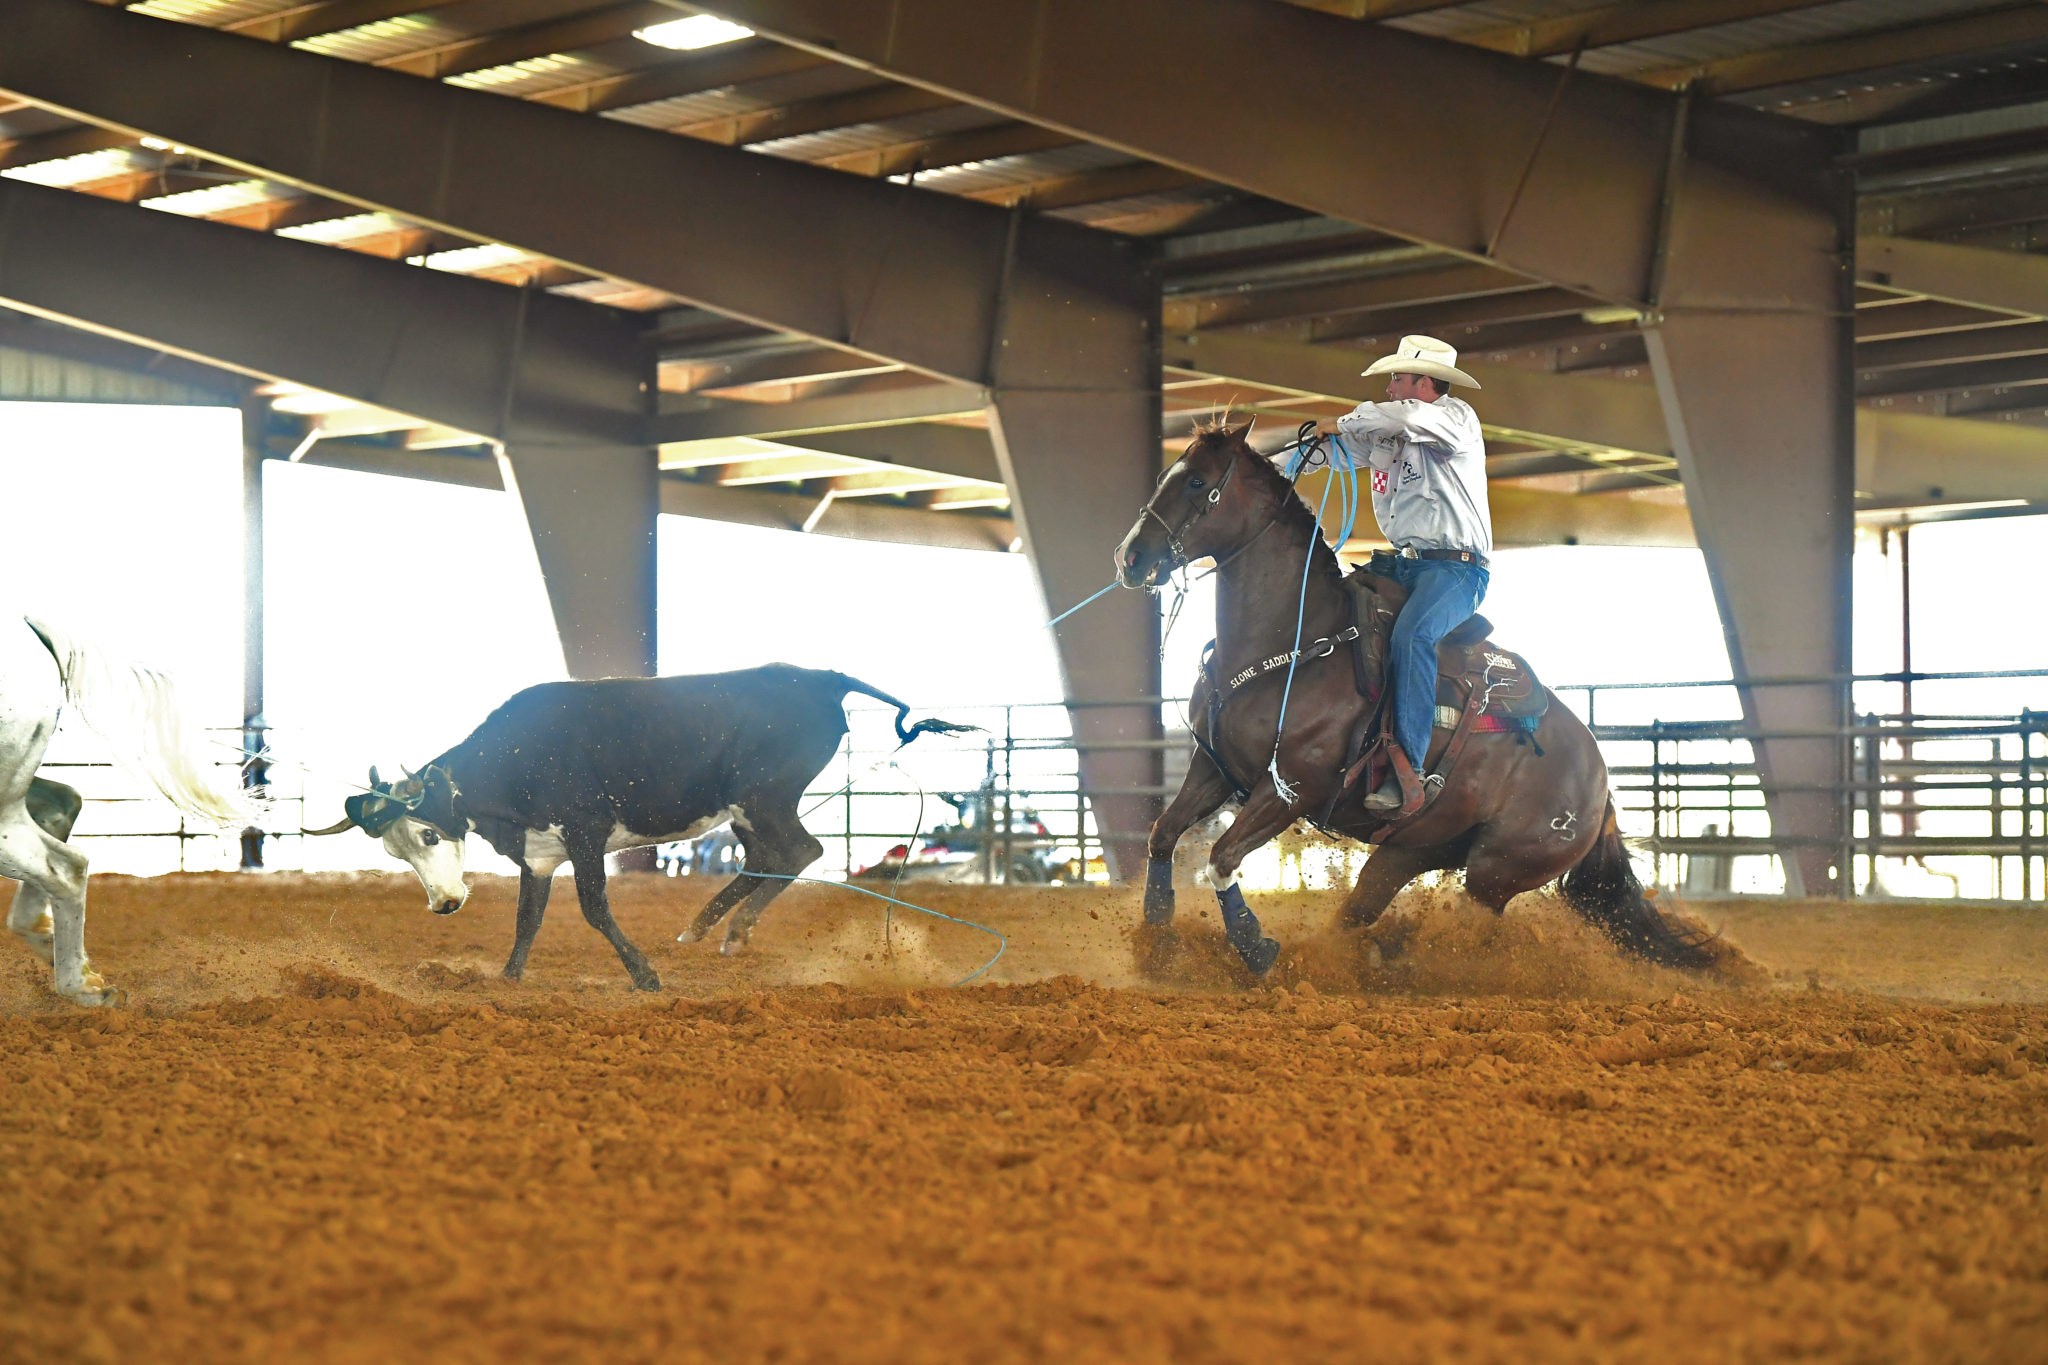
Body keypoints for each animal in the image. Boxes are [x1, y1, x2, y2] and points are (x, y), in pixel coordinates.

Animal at [1113, 420, 1719, 978]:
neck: (1296, 637)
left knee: (1472, 931)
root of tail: (1599, 781)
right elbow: (1162, 835)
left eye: (1197, 482)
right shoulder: (1213, 765)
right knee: (1361, 909)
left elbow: (1222, 857)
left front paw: (1254, 946)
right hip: (1412, 849)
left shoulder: (1292, 787)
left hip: (1496, 871)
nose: (1130, 557)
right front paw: (1157, 940)